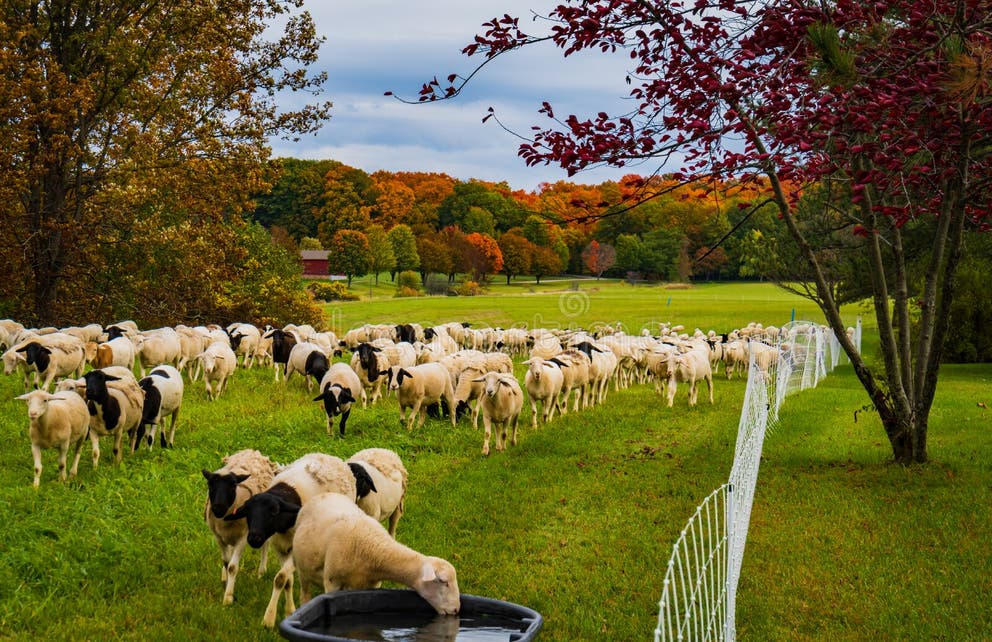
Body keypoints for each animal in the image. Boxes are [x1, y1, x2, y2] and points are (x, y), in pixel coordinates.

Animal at [202, 449, 280, 605]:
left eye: (233, 486)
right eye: (210, 485)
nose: (218, 508)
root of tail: (253, 451)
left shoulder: (243, 538)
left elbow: (232, 567)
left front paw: (228, 598)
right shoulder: (218, 537)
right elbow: (226, 562)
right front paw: (226, 583)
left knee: (265, 545)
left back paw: (261, 572)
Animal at [222, 452, 367, 628]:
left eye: (274, 512)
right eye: (248, 513)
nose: (254, 538)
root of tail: (330, 457)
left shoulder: (294, 550)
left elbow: (280, 579)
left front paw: (269, 619)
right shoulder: (280, 548)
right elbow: (288, 581)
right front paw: (290, 610)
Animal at [291, 492, 460, 614]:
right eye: (443, 582)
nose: (456, 610)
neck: (374, 547)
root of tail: (324, 494)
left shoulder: (371, 585)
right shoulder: (332, 582)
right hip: (302, 569)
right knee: (304, 594)